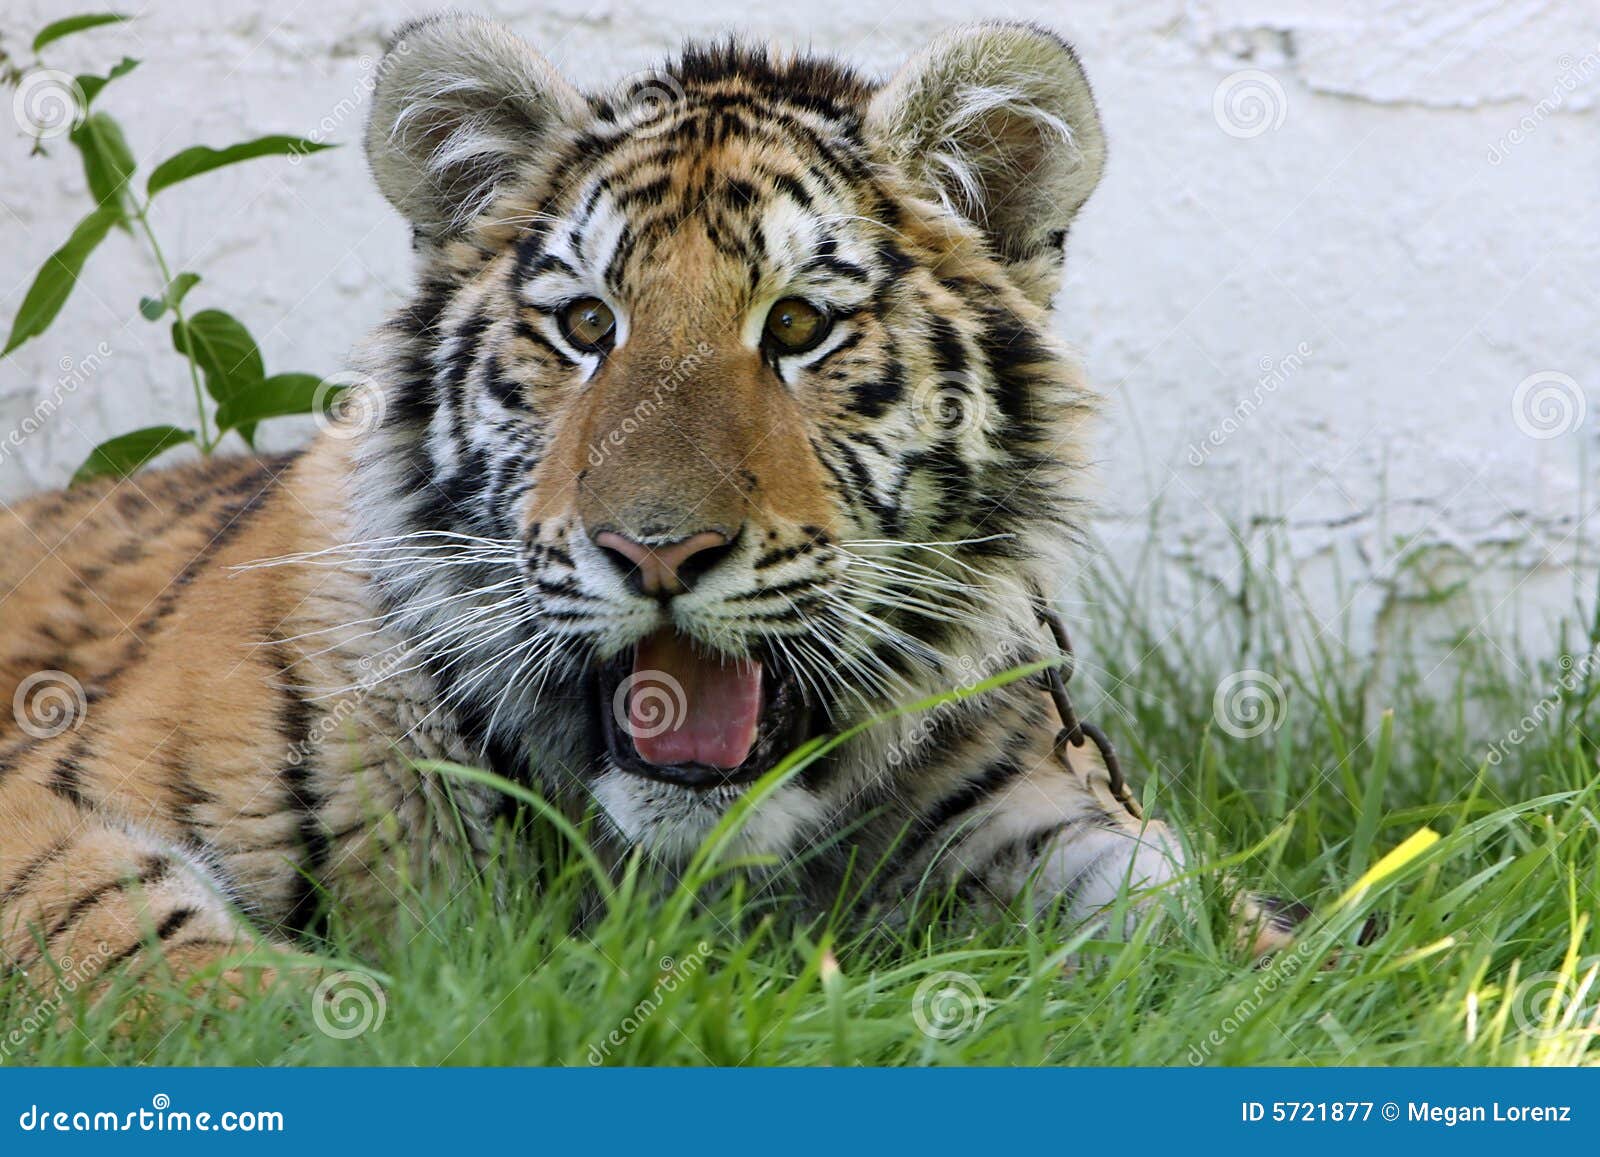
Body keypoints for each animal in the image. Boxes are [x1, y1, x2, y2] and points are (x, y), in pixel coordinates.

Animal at [0, 15, 1293, 997]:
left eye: (796, 325)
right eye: (586, 324)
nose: (655, 551)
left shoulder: (1040, 816)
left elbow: (1227, 929)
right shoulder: (41, 812)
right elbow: (155, 957)